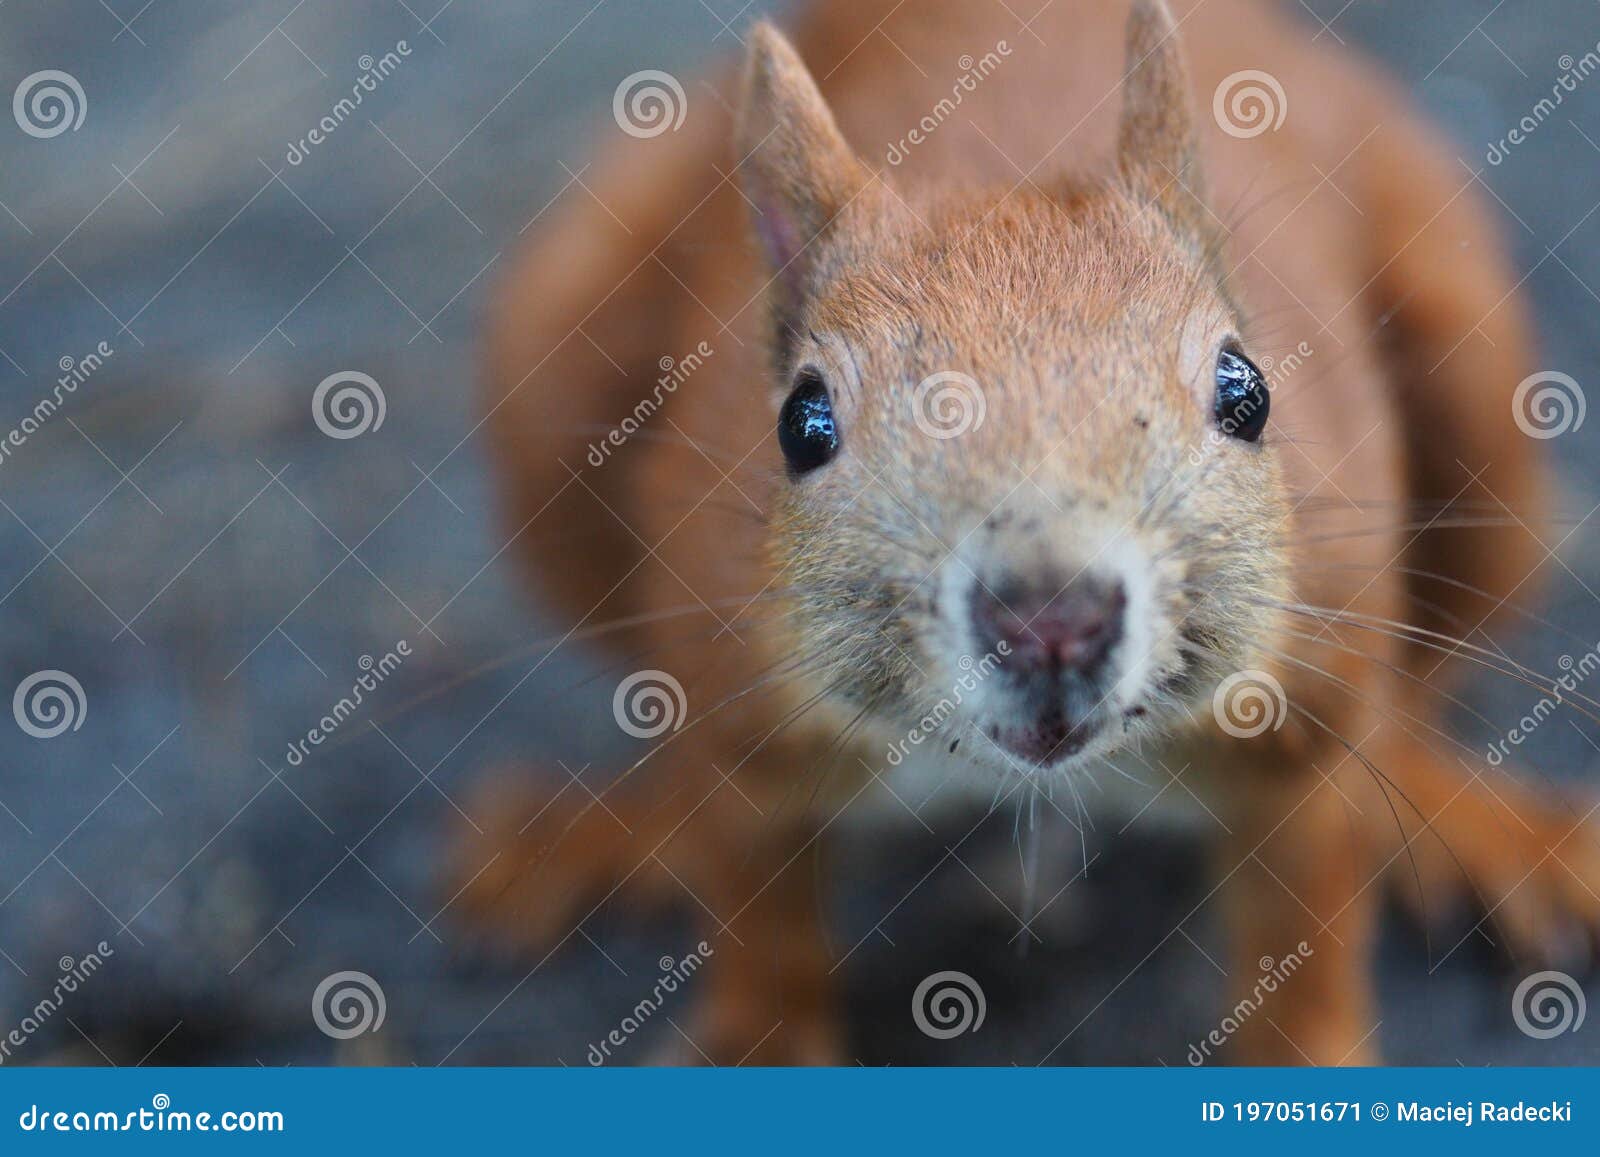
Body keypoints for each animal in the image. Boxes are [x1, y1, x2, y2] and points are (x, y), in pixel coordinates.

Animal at [459, 0, 1600, 1064]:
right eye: (801, 421)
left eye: (1247, 389)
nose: (1051, 617)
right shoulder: (729, 694)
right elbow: (756, 912)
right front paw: (752, 1041)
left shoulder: (1310, 708)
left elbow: (1310, 931)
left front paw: (1310, 1051)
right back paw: (618, 830)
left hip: (1477, 369)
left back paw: (1472, 821)